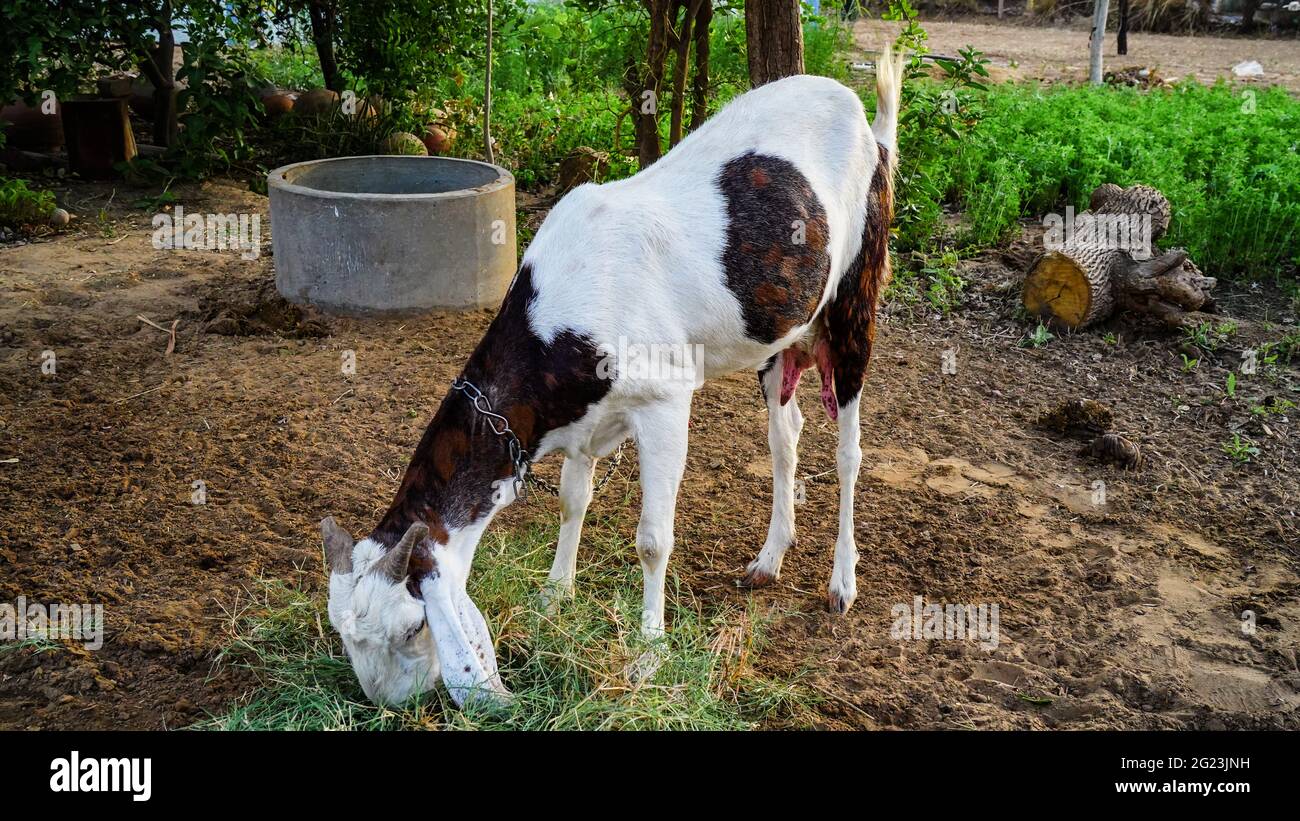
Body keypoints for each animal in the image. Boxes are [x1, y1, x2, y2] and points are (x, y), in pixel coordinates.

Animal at [320, 47, 905, 707]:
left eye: (413, 626)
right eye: (346, 635)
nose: (384, 700)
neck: (558, 318)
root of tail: (870, 125)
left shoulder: (666, 400)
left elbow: (653, 539)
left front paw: (649, 651)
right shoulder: (583, 415)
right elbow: (572, 501)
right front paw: (553, 597)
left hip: (857, 296)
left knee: (849, 452)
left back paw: (842, 580)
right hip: (782, 336)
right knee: (787, 435)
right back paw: (770, 558)